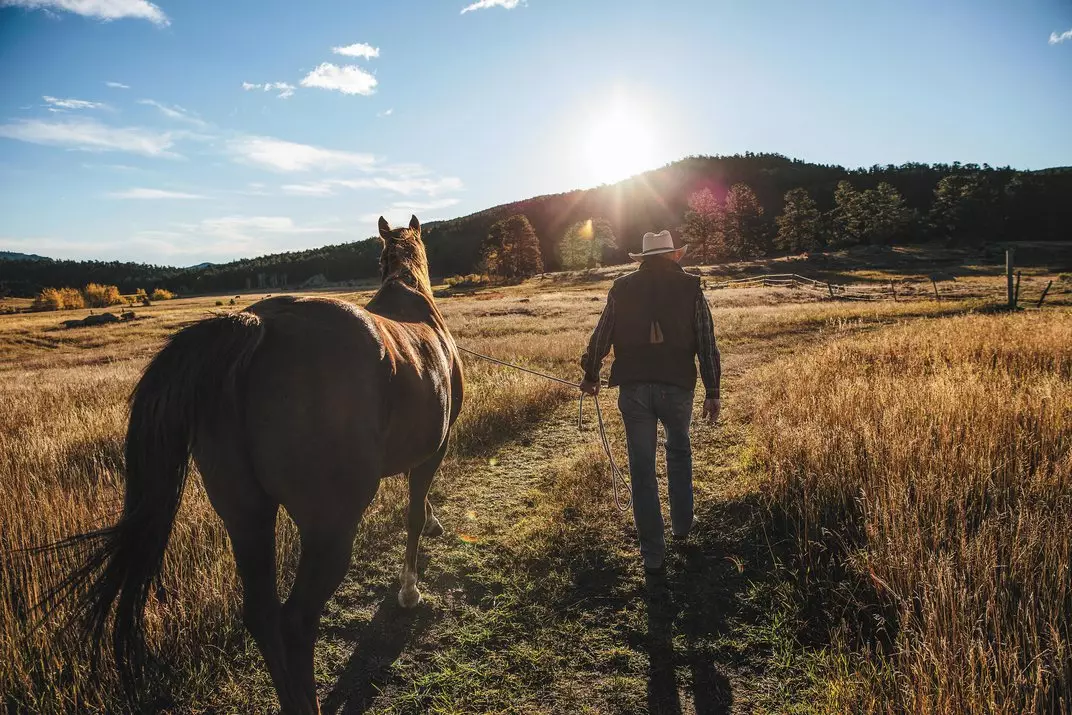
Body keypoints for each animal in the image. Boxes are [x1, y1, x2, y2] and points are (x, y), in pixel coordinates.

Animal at [43, 215, 463, 711]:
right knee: (295, 622)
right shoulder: (435, 450)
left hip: (245, 515)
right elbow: (412, 516)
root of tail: (258, 325)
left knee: (261, 616)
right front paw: (410, 587)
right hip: (329, 526)